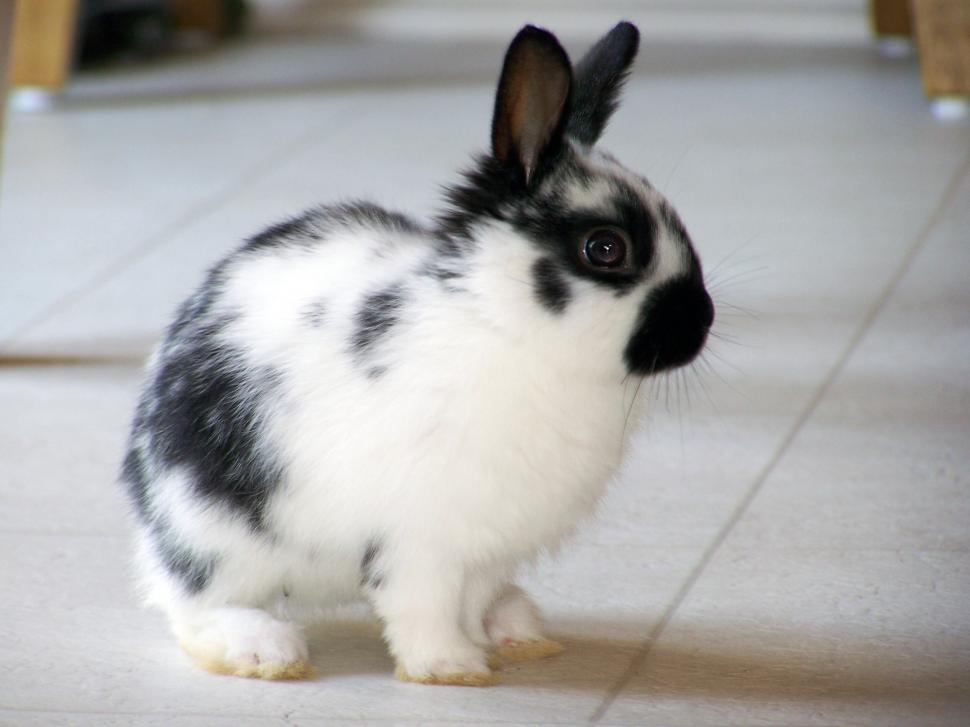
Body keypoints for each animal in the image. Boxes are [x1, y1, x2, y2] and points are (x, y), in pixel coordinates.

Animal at [121, 21, 714, 686]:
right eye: (605, 248)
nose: (700, 324)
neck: (505, 327)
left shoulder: (486, 545)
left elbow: (469, 599)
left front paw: (479, 649)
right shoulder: (420, 541)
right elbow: (422, 605)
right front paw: (451, 669)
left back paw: (517, 628)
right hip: (216, 535)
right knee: (192, 608)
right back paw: (266, 651)